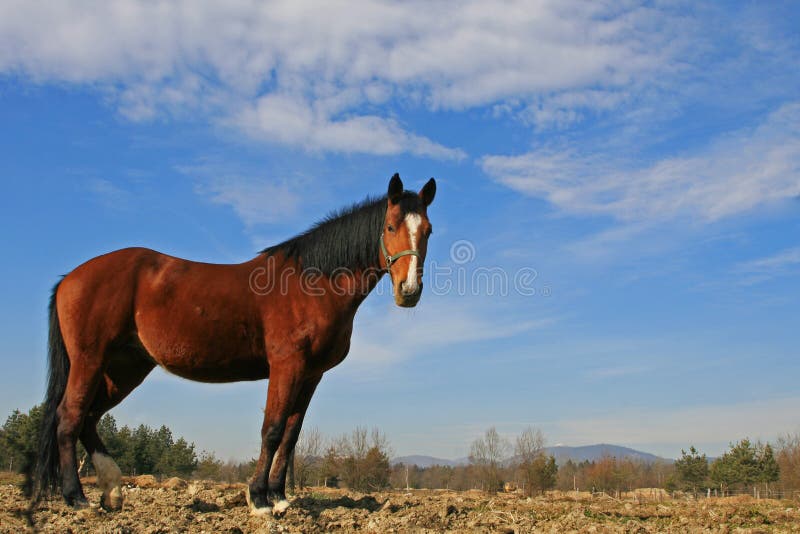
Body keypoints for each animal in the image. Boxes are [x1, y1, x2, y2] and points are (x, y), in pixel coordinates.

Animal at [31, 173, 436, 515]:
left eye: (428, 231)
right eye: (390, 227)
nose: (409, 291)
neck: (310, 283)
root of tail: (70, 278)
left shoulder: (311, 375)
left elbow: (291, 435)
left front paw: (279, 496)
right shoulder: (286, 366)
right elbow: (272, 429)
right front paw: (258, 499)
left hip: (125, 368)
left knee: (89, 417)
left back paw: (112, 490)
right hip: (90, 359)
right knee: (69, 416)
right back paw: (77, 498)